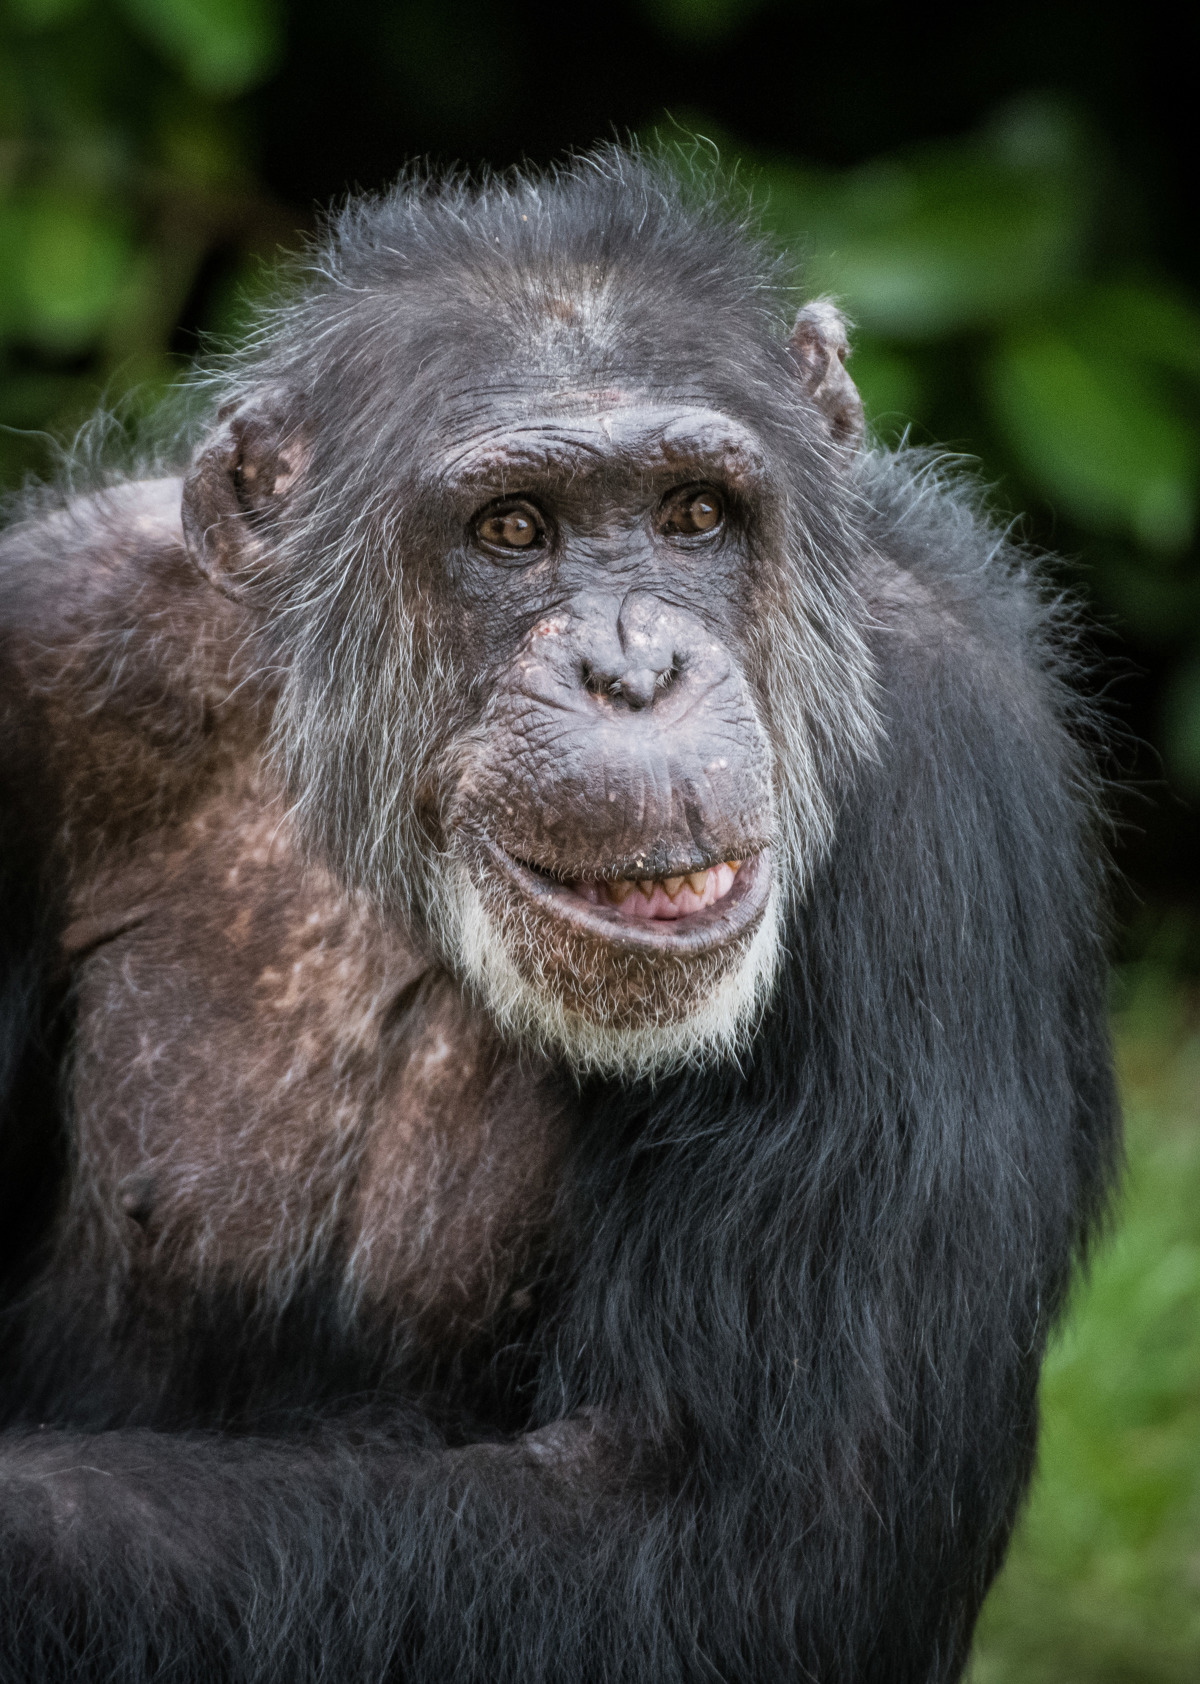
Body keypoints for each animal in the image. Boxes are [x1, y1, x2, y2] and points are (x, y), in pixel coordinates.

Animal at [0, 153, 1117, 1683]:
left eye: (695, 514)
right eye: (513, 529)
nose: (633, 670)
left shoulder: (948, 780)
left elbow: (726, 1537)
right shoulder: (46, 647)